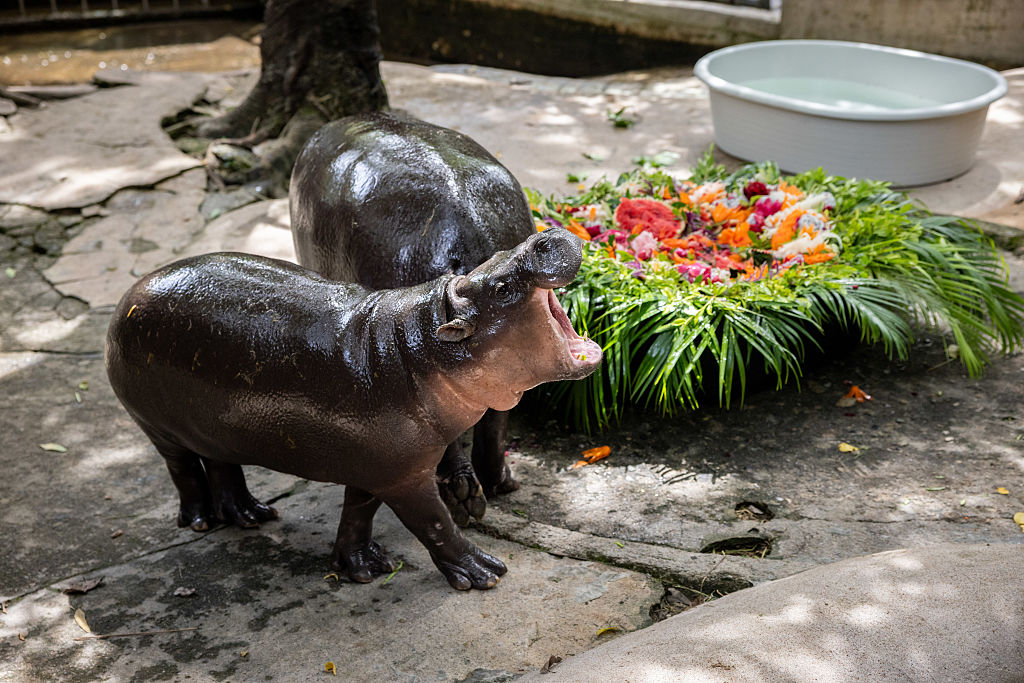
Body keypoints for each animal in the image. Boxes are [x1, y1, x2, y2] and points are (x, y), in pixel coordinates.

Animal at [106, 228, 601, 590]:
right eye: (500, 285)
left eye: (497, 253)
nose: (544, 237)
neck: (424, 348)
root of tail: (129, 292)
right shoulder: (405, 476)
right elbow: (435, 522)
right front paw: (485, 573)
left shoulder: (376, 464)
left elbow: (359, 512)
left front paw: (363, 567)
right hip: (155, 425)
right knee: (183, 468)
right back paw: (202, 521)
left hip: (215, 426)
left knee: (221, 463)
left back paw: (251, 515)